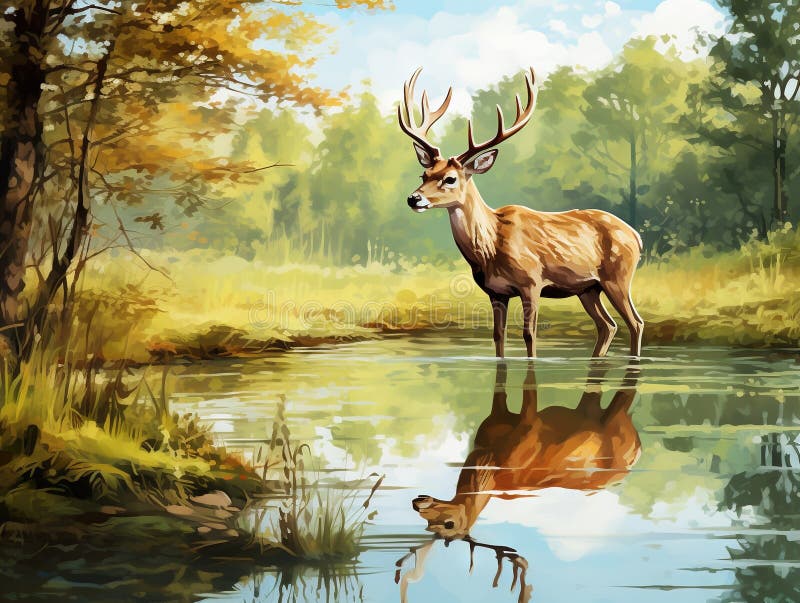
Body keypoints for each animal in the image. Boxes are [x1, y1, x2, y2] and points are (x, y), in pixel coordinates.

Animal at [398, 68, 645, 358]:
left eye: (449, 179)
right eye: (423, 174)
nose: (413, 198)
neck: (490, 245)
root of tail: (636, 236)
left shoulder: (532, 282)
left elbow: (529, 335)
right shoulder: (495, 292)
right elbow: (498, 336)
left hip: (618, 277)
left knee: (635, 322)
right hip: (588, 288)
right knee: (608, 326)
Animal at [412, 361, 641, 540]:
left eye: (449, 524)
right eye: (428, 526)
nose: (417, 502)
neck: (489, 459)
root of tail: (637, 452)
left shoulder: (530, 421)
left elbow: (528, 384)